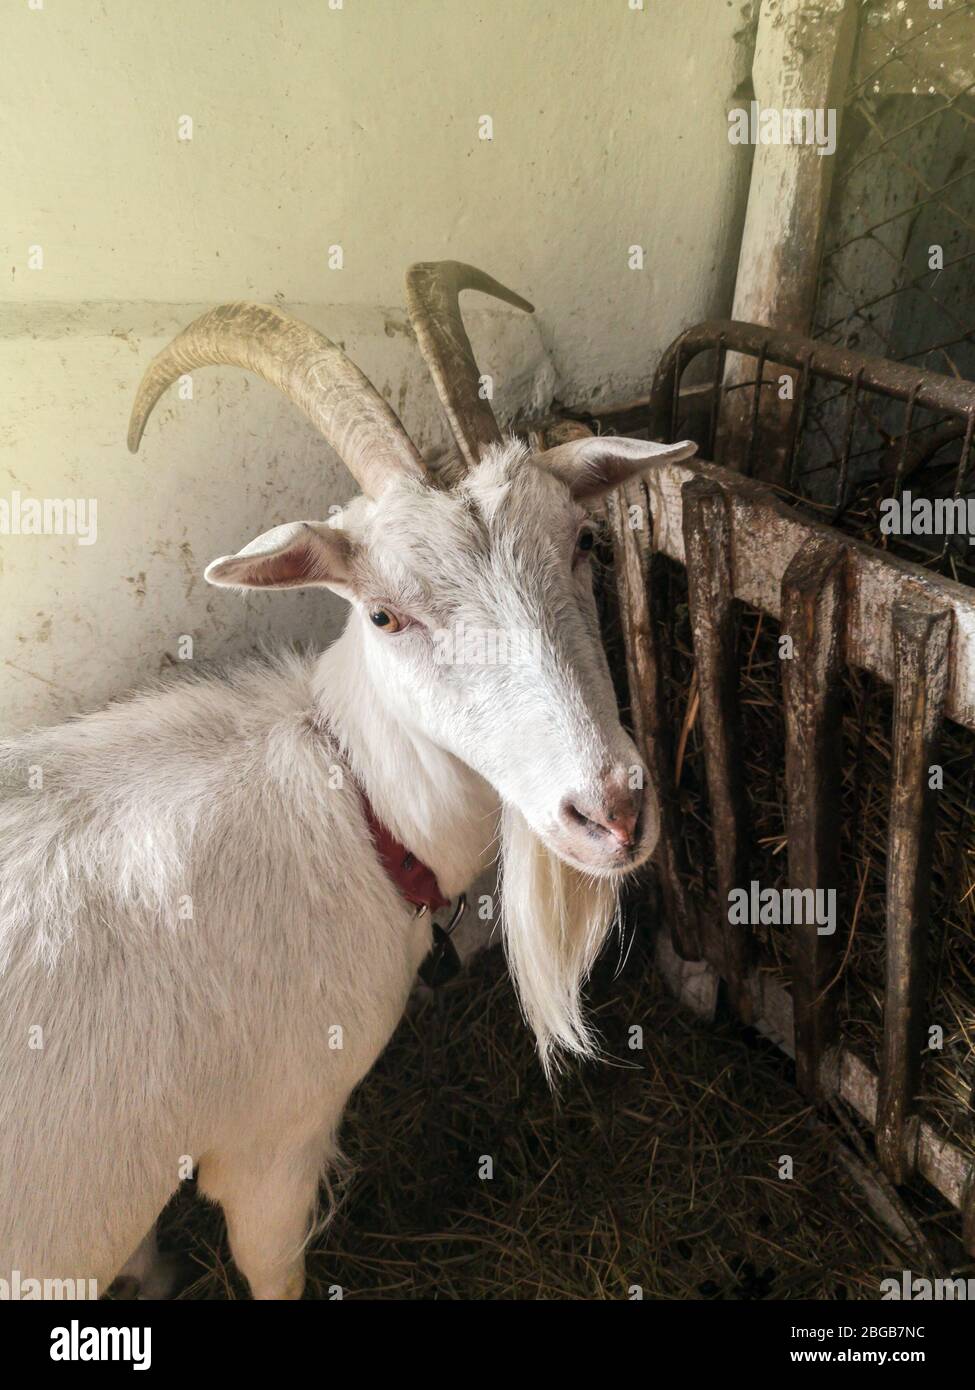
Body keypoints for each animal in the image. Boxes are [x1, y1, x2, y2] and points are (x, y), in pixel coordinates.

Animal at [0, 262, 695, 1298]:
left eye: (582, 543)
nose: (609, 810)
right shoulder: (270, 1147)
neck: (354, 809)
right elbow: (270, 1266)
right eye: (383, 615)